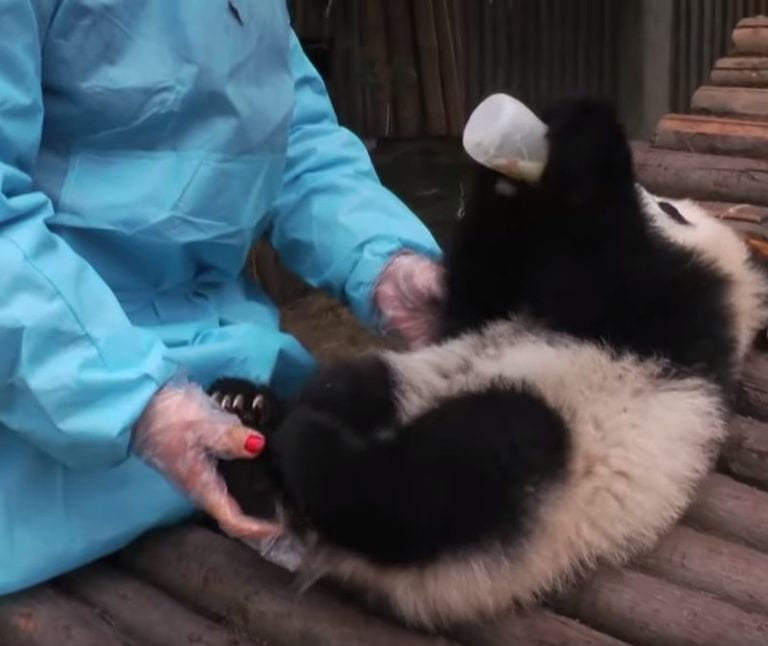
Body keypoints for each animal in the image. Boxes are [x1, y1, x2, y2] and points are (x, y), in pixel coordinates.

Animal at [209, 97, 768, 629]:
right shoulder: (486, 312)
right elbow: (476, 293)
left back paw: (305, 443)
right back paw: (249, 414)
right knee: (355, 387)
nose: (656, 198)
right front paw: (504, 177)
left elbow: (604, 270)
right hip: (410, 382)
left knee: (447, 475)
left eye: (674, 210)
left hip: (547, 467)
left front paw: (580, 138)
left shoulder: (676, 316)